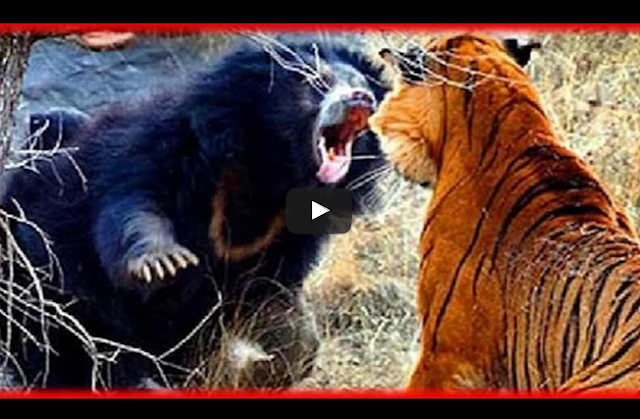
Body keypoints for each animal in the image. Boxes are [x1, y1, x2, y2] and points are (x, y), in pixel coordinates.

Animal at [0, 35, 388, 390]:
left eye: (362, 85)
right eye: (317, 82)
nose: (361, 100)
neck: (271, 171)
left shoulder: (284, 236)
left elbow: (270, 298)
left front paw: (258, 373)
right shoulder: (165, 146)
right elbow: (134, 208)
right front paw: (163, 262)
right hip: (49, 288)